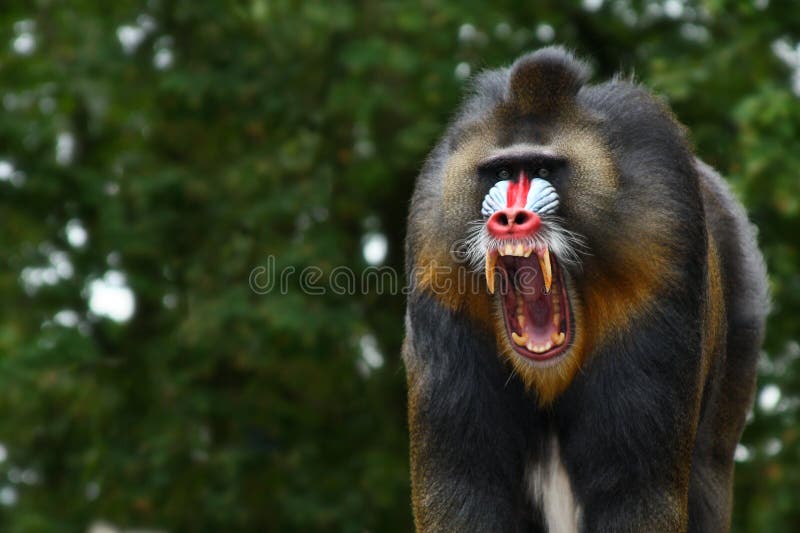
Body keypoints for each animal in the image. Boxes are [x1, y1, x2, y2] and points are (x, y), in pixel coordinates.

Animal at [402, 47, 768, 533]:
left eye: (541, 169)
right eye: (502, 172)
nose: (510, 218)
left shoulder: (660, 244)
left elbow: (635, 489)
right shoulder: (435, 257)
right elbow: (464, 485)